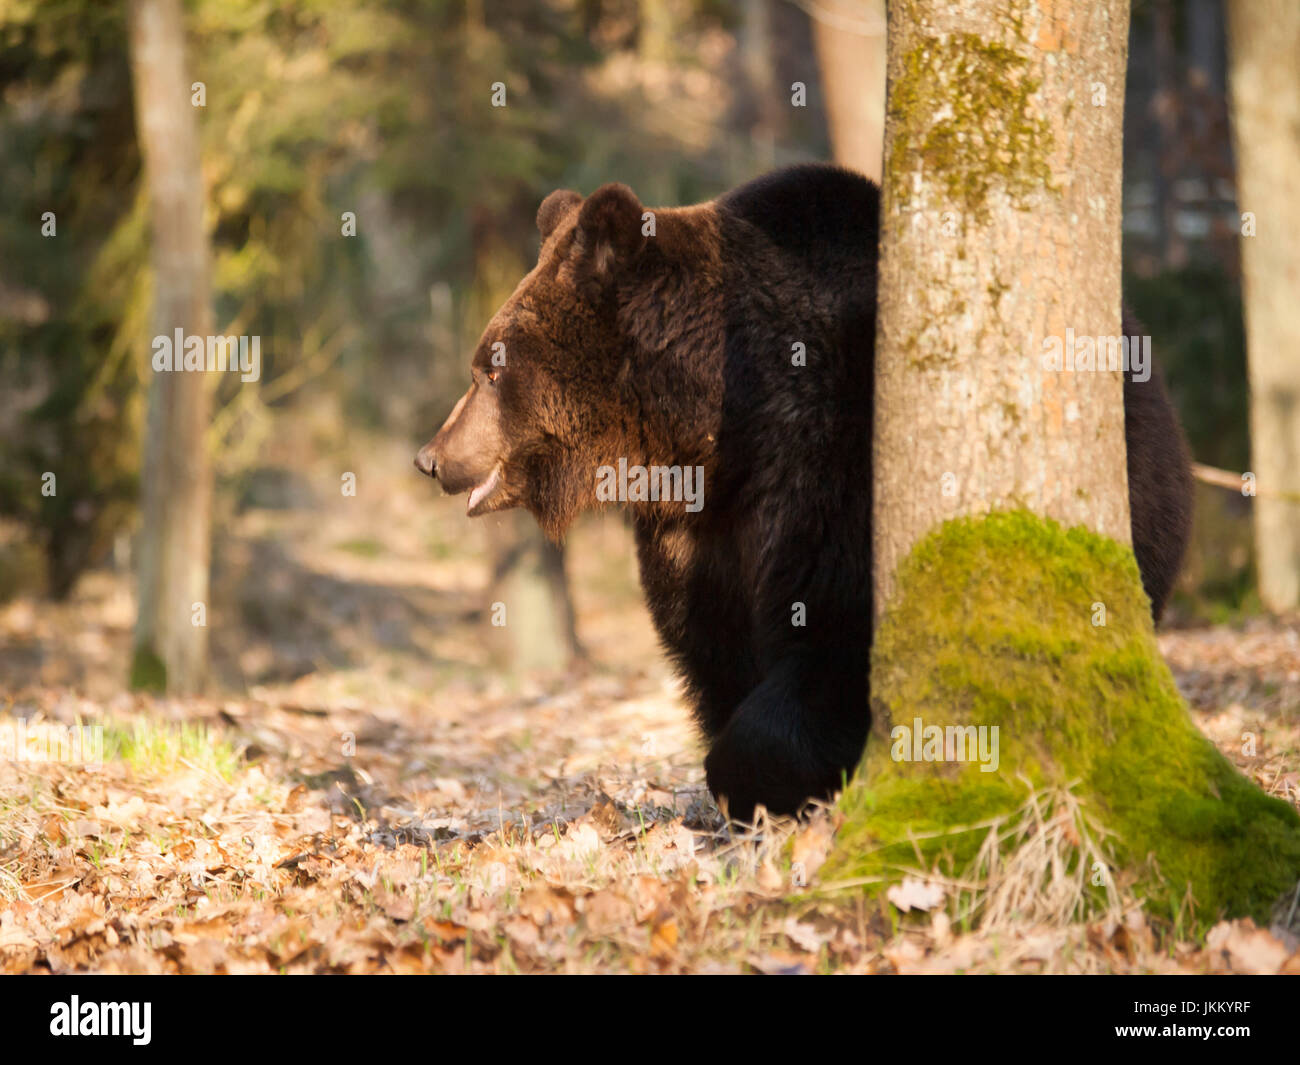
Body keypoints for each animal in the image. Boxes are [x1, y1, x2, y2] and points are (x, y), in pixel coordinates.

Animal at [415, 163, 1194, 821]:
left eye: (489, 367)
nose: (432, 456)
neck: (718, 432)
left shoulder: (835, 462)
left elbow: (834, 636)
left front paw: (763, 779)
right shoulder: (699, 533)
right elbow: (712, 648)